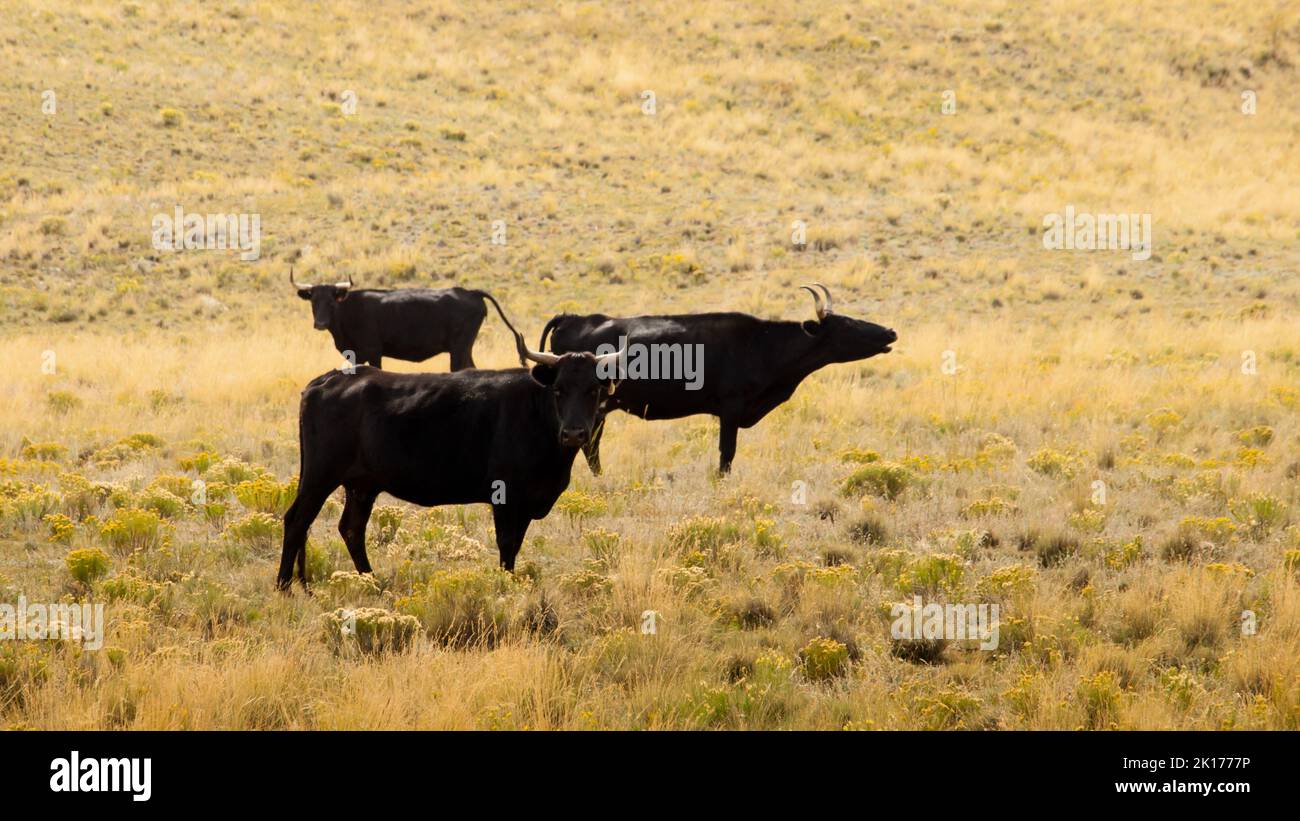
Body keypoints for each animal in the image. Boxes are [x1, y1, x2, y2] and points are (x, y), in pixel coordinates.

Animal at [276, 294, 624, 590]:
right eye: (559, 390)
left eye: (594, 389)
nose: (574, 433)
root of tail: (327, 379)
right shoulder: (506, 498)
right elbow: (507, 546)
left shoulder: (525, 503)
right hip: (320, 475)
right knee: (297, 520)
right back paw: (285, 587)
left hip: (361, 485)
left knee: (351, 528)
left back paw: (370, 582)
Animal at [290, 268, 490, 370]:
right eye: (314, 301)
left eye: (331, 302)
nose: (320, 323)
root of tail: (470, 292)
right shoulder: (356, 355)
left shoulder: (373, 351)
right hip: (465, 349)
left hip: (458, 349)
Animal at [536, 284, 896, 475]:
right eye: (846, 324)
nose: (890, 331)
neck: (763, 344)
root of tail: (572, 316)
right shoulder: (731, 408)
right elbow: (727, 454)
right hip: (594, 409)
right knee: (589, 446)